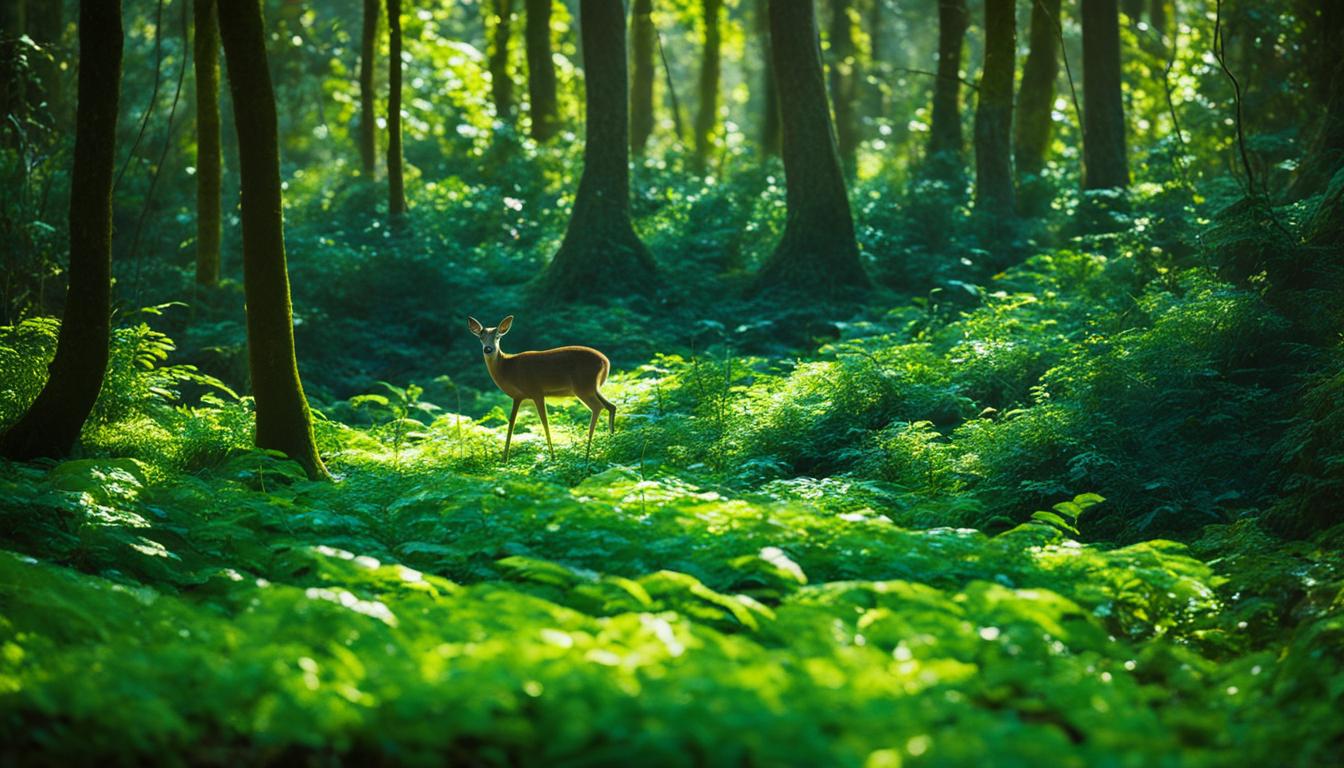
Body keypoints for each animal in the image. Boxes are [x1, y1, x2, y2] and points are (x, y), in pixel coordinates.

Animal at [467, 315, 616, 463]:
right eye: (481, 337)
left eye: (498, 336)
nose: (488, 349)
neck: (506, 368)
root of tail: (606, 362)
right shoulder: (518, 396)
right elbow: (512, 423)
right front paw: (504, 459)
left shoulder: (536, 390)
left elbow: (544, 421)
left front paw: (553, 457)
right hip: (592, 388)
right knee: (611, 406)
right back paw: (611, 443)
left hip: (583, 387)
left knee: (598, 407)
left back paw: (587, 454)